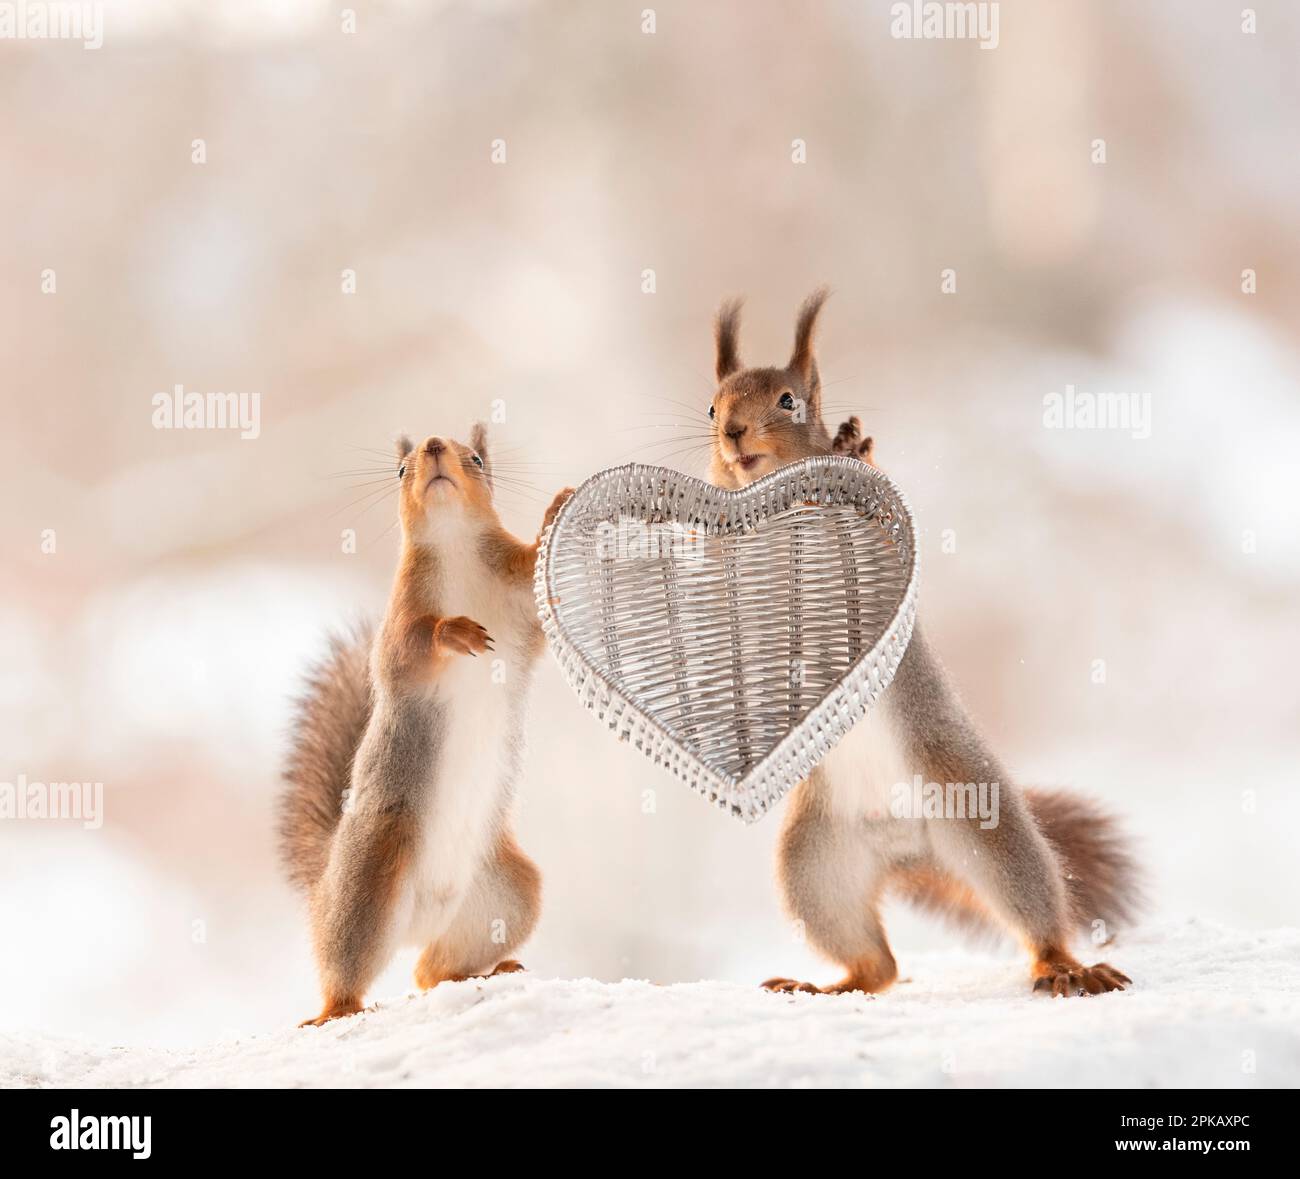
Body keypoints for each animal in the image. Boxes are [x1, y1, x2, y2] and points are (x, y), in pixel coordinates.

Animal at [279, 423, 572, 1026]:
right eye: (400, 469)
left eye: (478, 458)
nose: (435, 444)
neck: (456, 545)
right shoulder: (400, 624)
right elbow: (411, 648)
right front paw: (454, 633)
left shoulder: (522, 611)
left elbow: (538, 592)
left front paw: (556, 510)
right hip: (369, 879)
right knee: (349, 965)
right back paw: (336, 1009)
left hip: (507, 895)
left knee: (428, 971)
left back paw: (482, 972)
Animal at [706, 290, 1139, 998]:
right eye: (710, 408)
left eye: (789, 400)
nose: (733, 434)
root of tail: (907, 850)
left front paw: (855, 445)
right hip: (814, 863)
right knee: (877, 965)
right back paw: (829, 984)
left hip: (985, 823)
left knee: (1034, 913)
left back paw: (1065, 966)